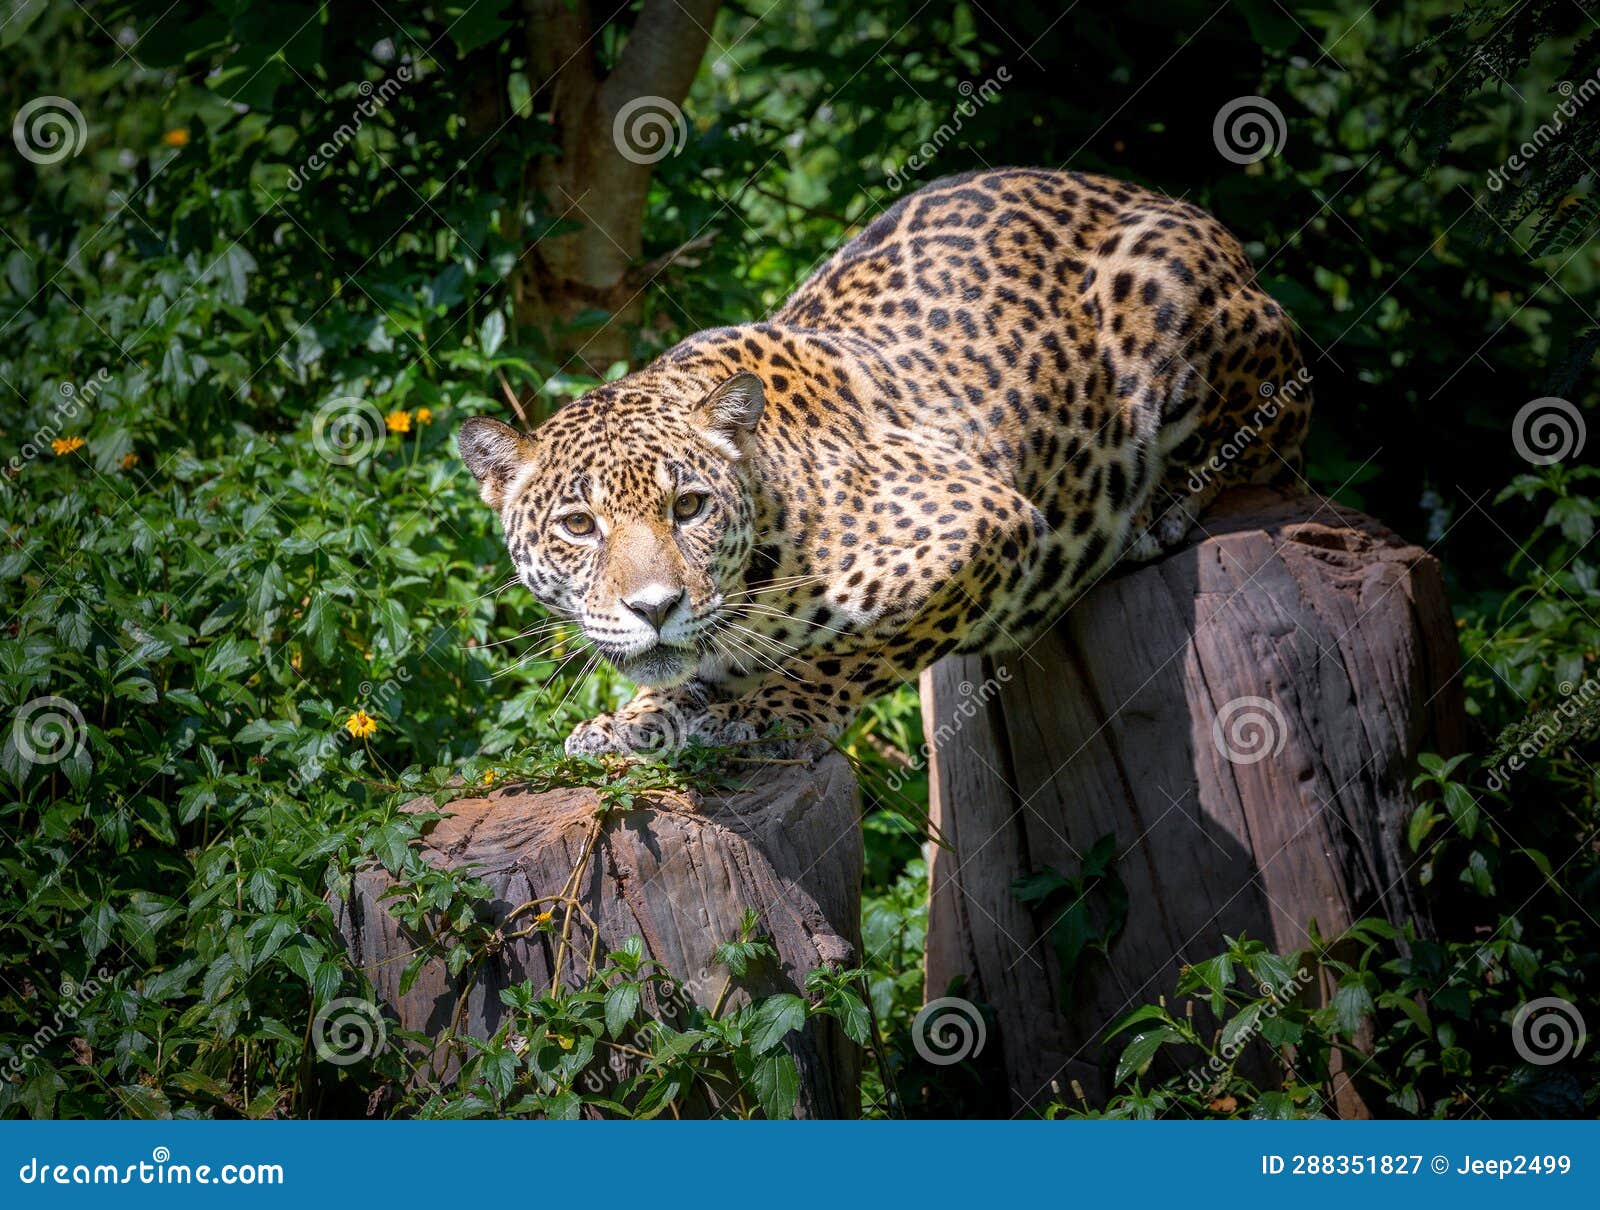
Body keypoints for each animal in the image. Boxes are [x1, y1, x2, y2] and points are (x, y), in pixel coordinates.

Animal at [459, 168, 1312, 759]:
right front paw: (629, 722)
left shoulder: (985, 523)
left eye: (690, 507)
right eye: (579, 525)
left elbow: (860, 651)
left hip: (1173, 293)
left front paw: (772, 712)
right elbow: (684, 678)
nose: (655, 608)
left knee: (1280, 423)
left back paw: (1163, 505)